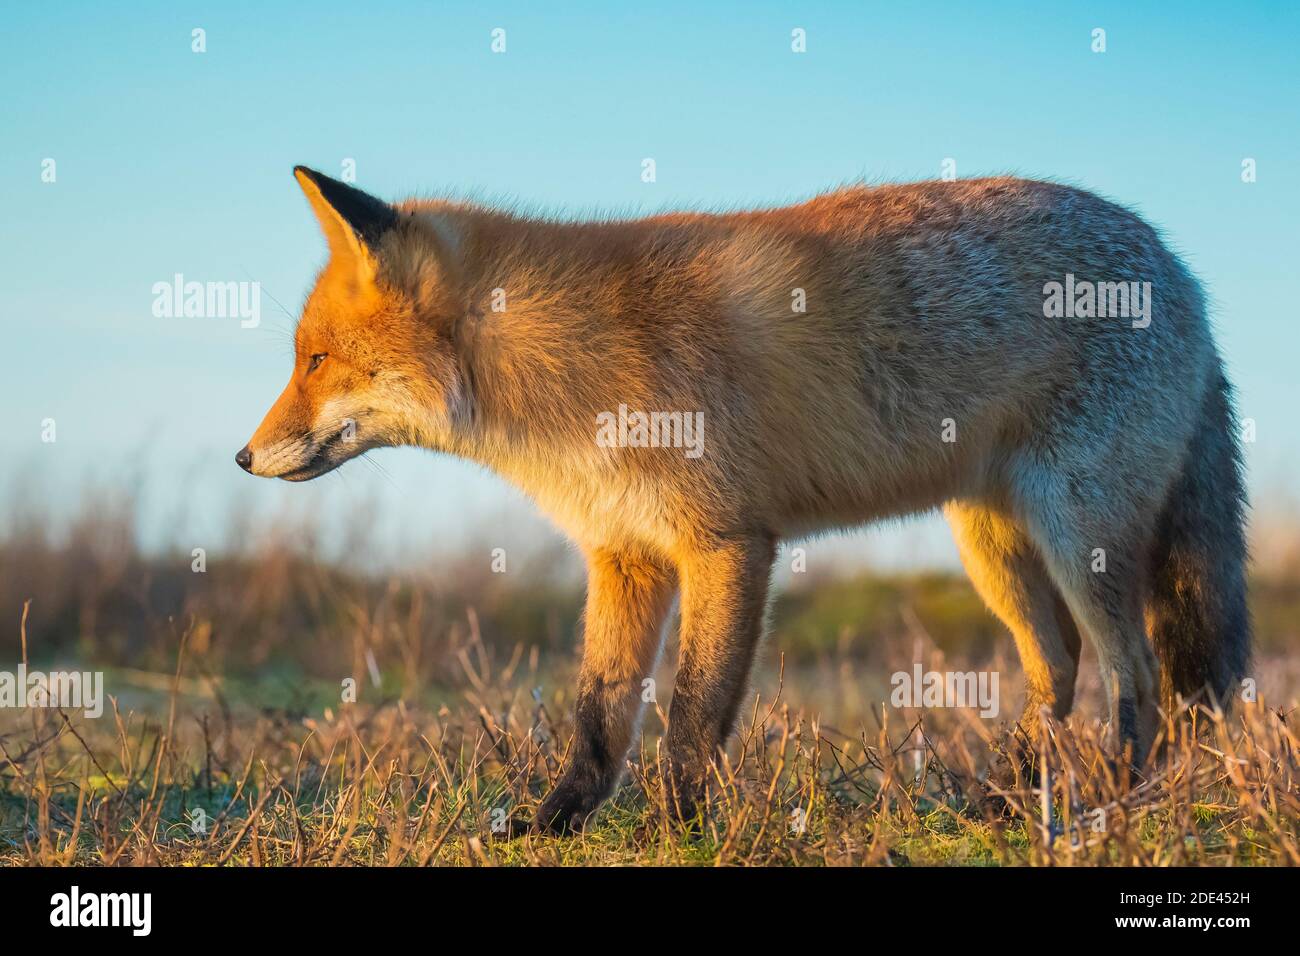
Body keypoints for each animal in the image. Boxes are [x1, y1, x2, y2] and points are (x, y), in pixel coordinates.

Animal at [238, 166, 1251, 832]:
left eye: (315, 360)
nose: (243, 458)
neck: (566, 375)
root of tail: (1184, 274)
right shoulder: (624, 554)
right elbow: (599, 715)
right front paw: (554, 822)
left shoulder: (727, 542)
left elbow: (691, 713)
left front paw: (678, 831)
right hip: (993, 545)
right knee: (1060, 665)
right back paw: (1008, 801)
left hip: (1077, 530)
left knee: (1136, 672)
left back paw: (1107, 800)